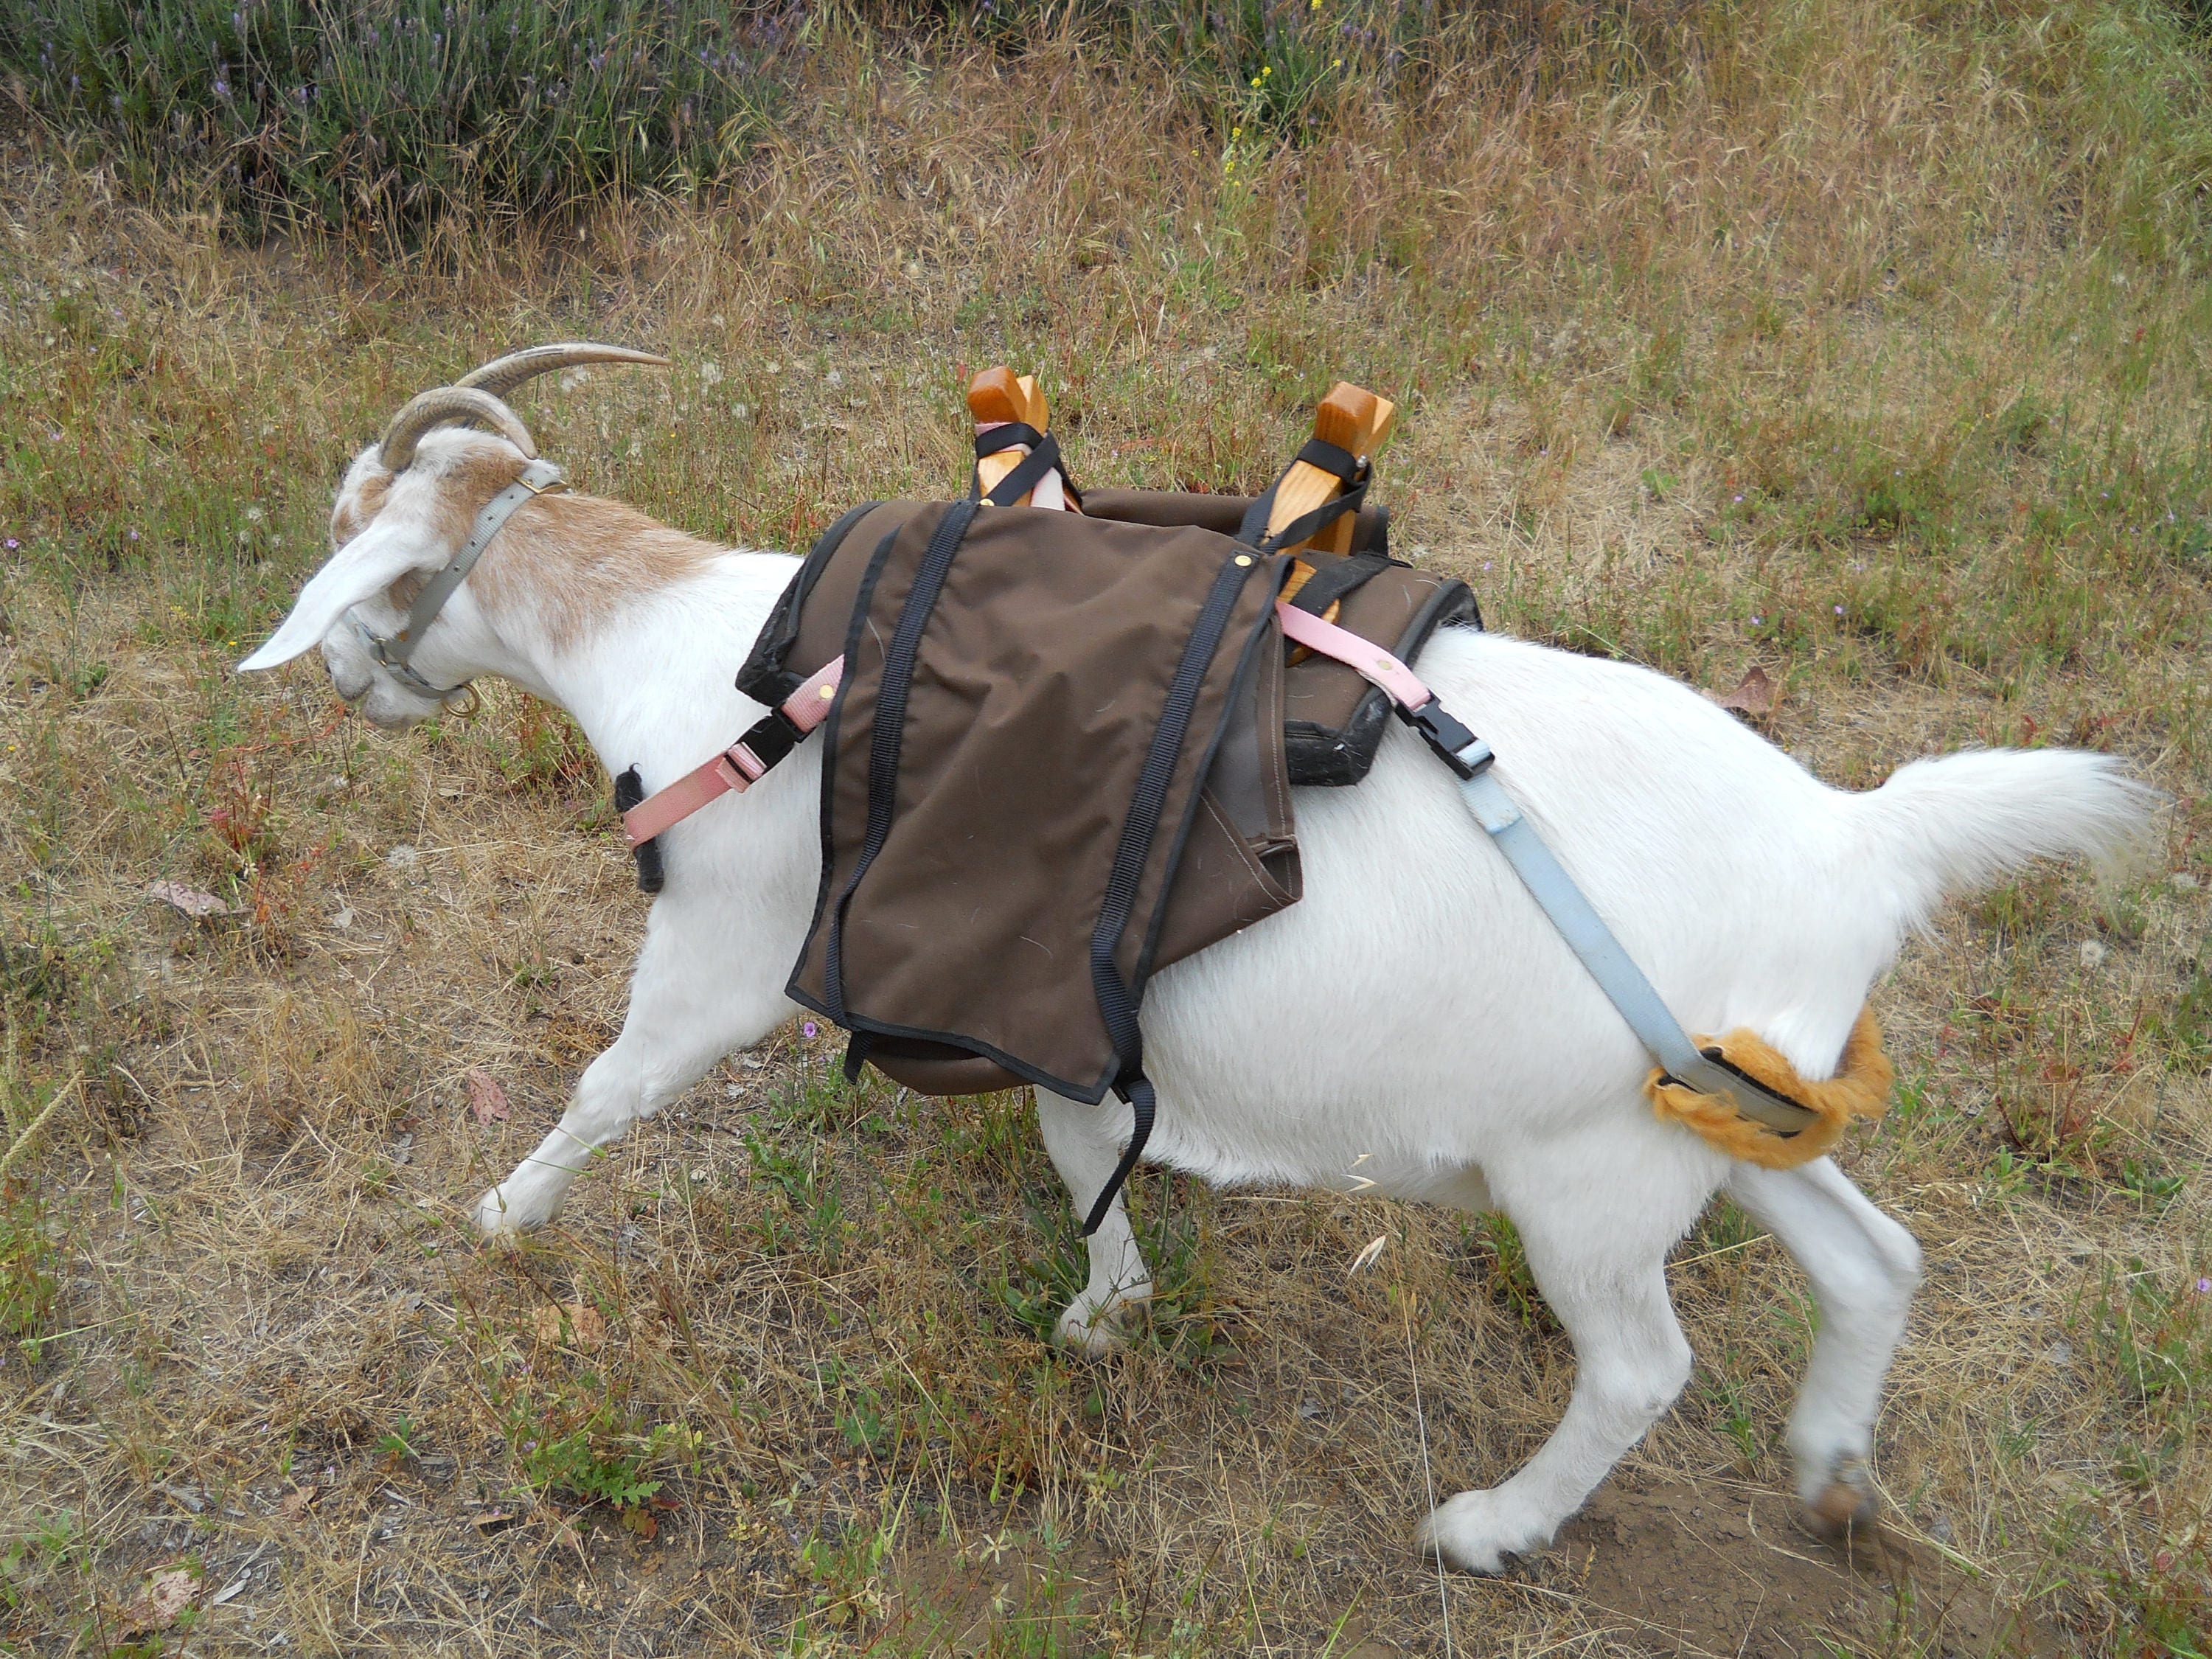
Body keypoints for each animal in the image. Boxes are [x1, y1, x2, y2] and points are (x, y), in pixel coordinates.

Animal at [241, 349, 2157, 1572]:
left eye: (349, 535)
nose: (341, 681)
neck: (704, 656)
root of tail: (1863, 843)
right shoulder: (1069, 997)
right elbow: (1083, 1136)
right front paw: (1109, 1309)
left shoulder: (728, 946)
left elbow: (613, 1085)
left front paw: (504, 1216)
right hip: (1729, 1109)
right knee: (1876, 1260)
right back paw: (1833, 1475)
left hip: (1587, 1169)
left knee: (1638, 1369)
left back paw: (1490, 1527)